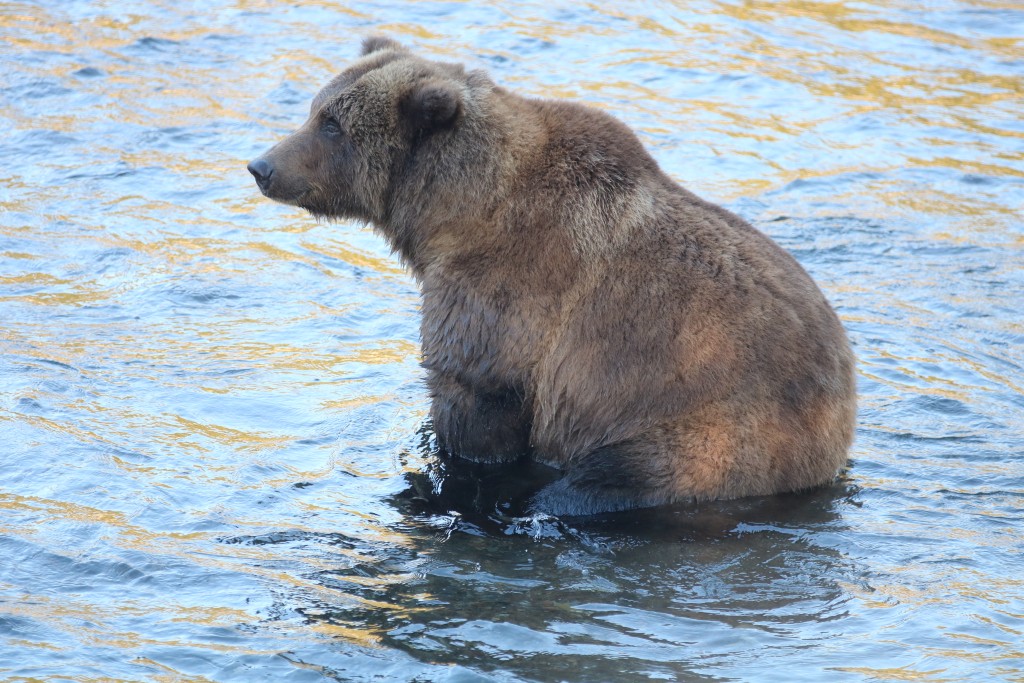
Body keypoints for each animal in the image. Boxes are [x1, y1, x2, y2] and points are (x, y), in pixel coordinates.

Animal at [248, 37, 857, 516]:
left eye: (332, 125)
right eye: (315, 109)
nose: (262, 166)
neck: (453, 211)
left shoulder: (508, 290)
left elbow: (478, 400)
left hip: (706, 426)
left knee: (618, 475)